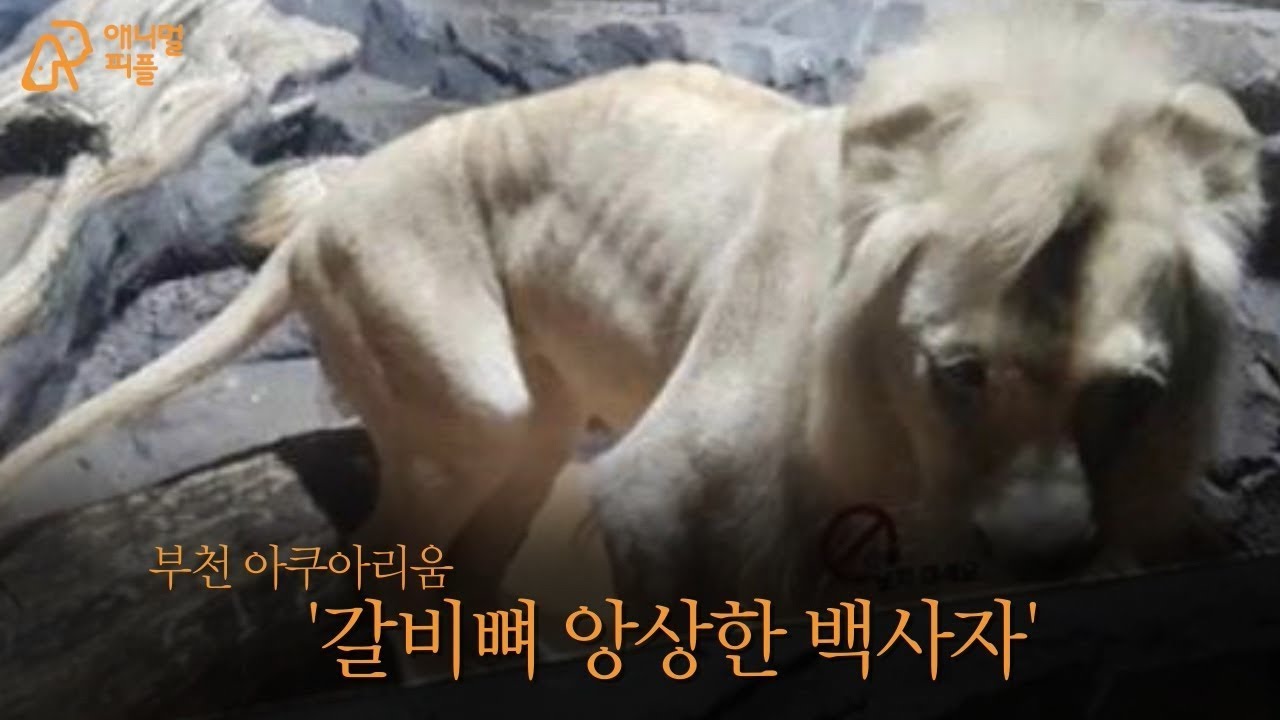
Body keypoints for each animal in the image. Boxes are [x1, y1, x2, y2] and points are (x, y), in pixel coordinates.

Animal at [0, 0, 1266, 634]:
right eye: (956, 373)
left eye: (1129, 394)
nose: (1047, 553)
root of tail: (320, 210)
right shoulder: (677, 481)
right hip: (470, 397)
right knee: (375, 557)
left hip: (527, 424)